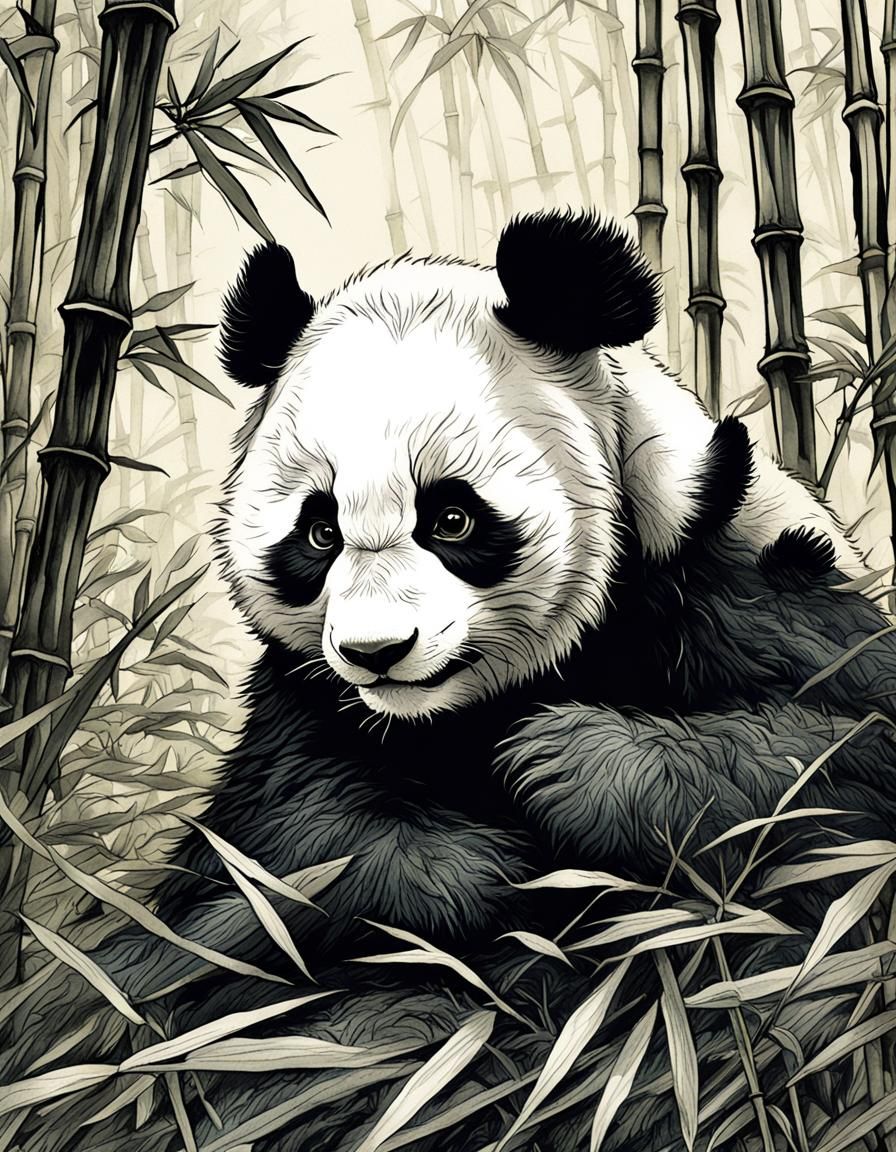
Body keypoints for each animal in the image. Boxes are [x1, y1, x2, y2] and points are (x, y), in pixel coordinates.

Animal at [7, 209, 896, 1152]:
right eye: (318, 531)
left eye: (454, 517)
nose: (376, 651)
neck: (460, 710)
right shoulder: (303, 708)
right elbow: (290, 852)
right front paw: (466, 870)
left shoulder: (745, 579)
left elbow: (835, 759)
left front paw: (564, 765)